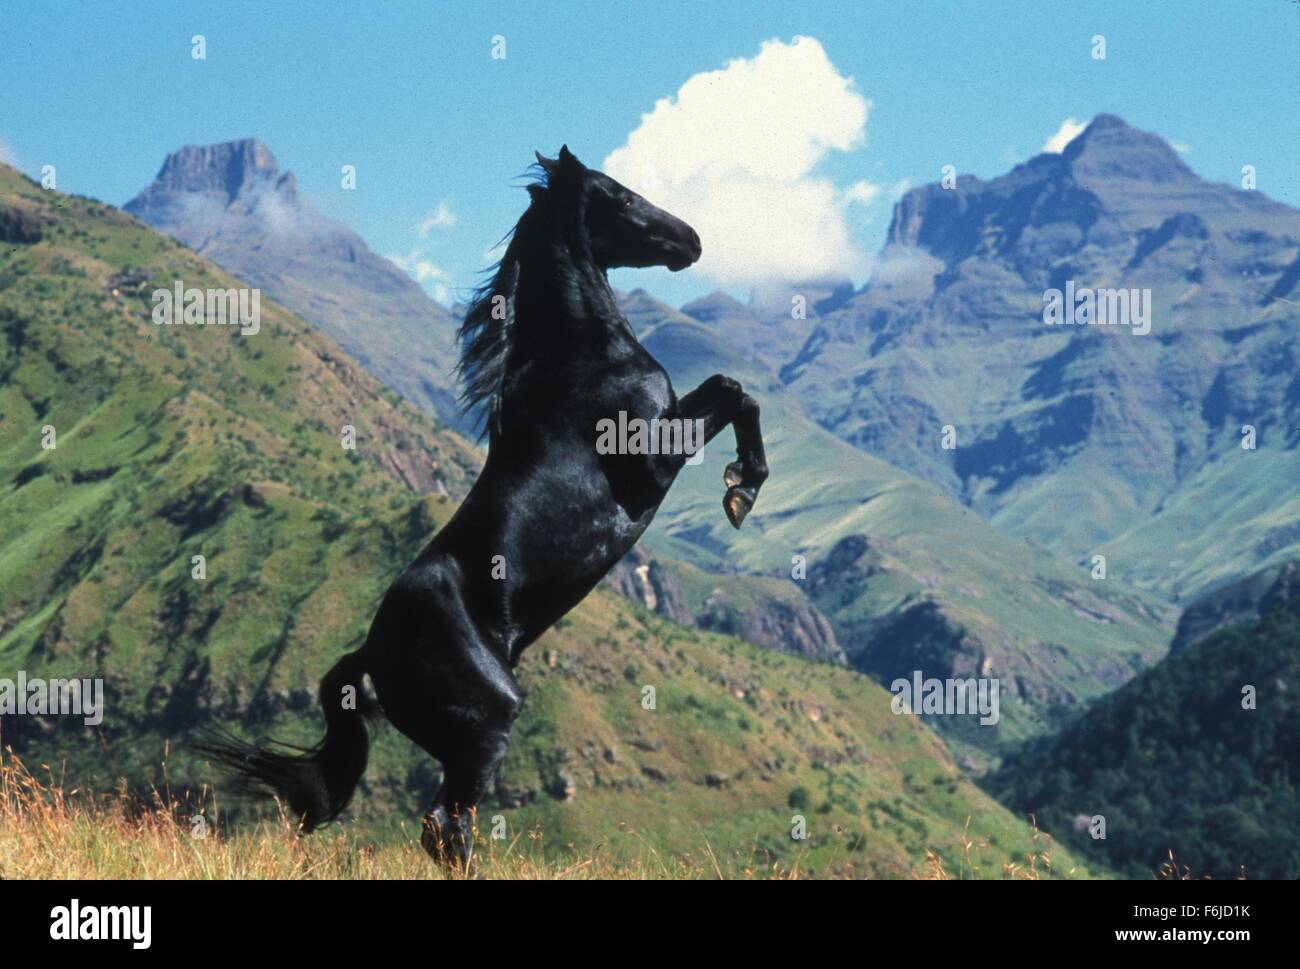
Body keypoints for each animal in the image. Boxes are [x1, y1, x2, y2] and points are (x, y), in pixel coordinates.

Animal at [198, 145, 768, 867]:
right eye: (618, 194)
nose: (689, 239)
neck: (582, 359)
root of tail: (370, 656)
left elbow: (732, 389)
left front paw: (741, 486)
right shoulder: (650, 463)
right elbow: (733, 389)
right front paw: (741, 489)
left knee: (443, 826)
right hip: (489, 722)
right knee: (446, 825)